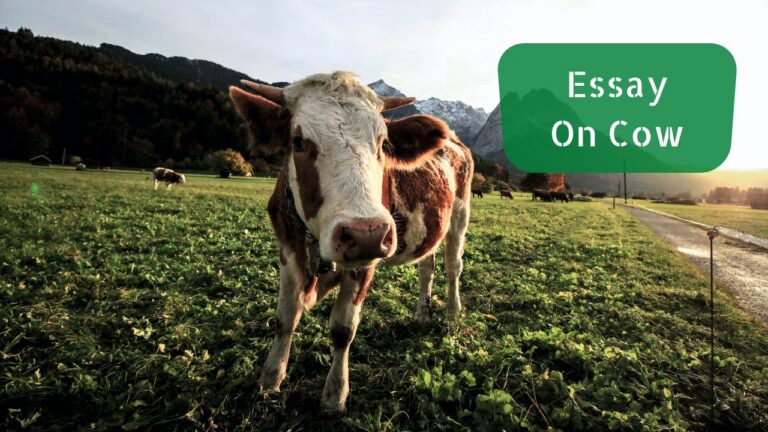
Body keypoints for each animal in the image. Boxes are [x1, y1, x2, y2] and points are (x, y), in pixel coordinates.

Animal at [229, 72, 473, 414]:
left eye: (384, 143)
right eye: (298, 142)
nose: (365, 233)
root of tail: (453, 139)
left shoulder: (365, 261)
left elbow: (343, 329)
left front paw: (335, 394)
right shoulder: (288, 250)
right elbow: (284, 318)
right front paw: (270, 378)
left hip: (460, 216)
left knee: (453, 266)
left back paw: (452, 309)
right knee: (427, 266)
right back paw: (422, 314)